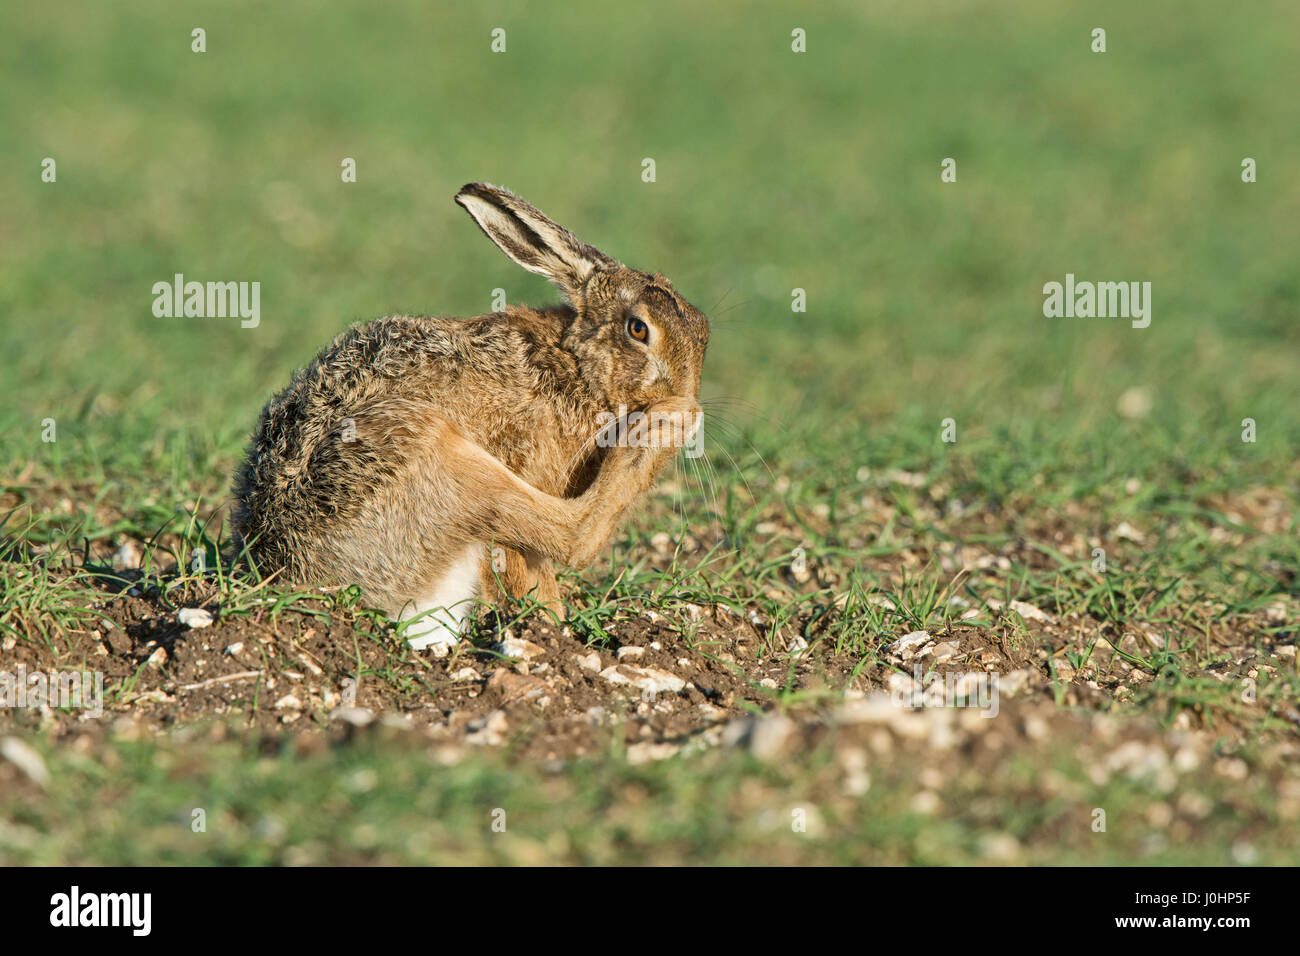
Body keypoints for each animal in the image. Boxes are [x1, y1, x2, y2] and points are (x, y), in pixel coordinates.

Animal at [230, 182, 708, 651]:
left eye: (702, 329)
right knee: (576, 536)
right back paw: (663, 427)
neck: (577, 366)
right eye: (638, 329)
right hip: (427, 449)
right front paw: (549, 622)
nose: (686, 397)